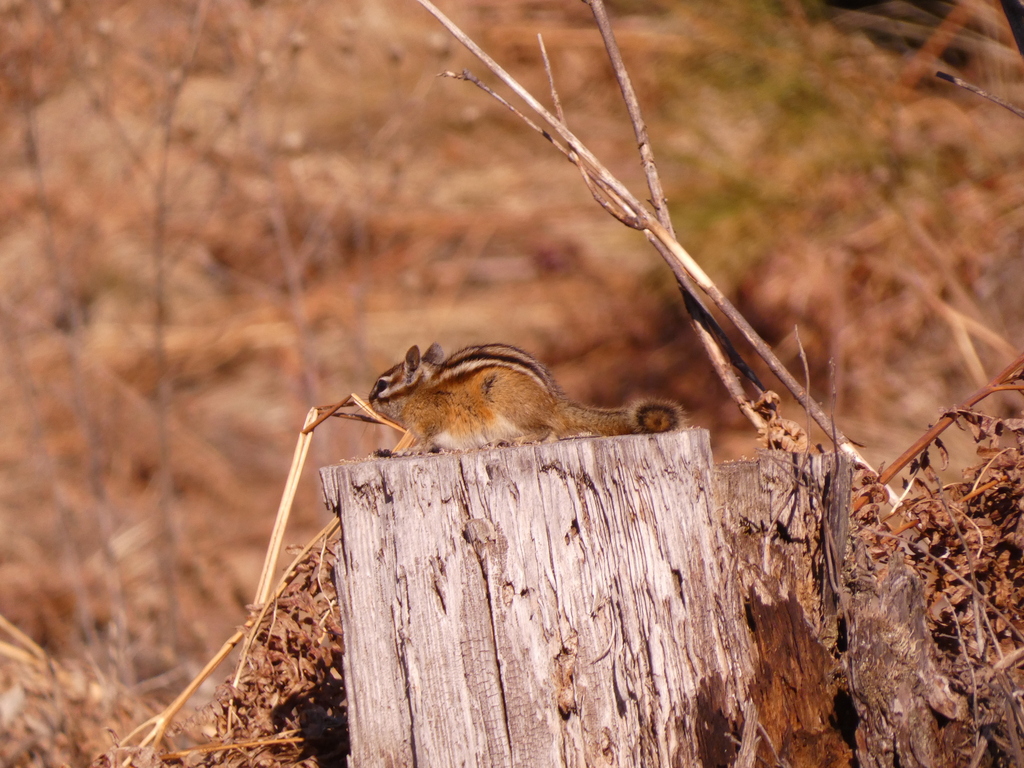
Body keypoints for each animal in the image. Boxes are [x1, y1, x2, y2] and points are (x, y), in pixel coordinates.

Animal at [368, 342, 685, 453]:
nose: (369, 400)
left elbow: (426, 441)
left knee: (546, 431)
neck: (419, 390)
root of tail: (555, 404)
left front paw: (406, 451)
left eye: (381, 385)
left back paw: (511, 440)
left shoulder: (430, 422)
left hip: (501, 396)